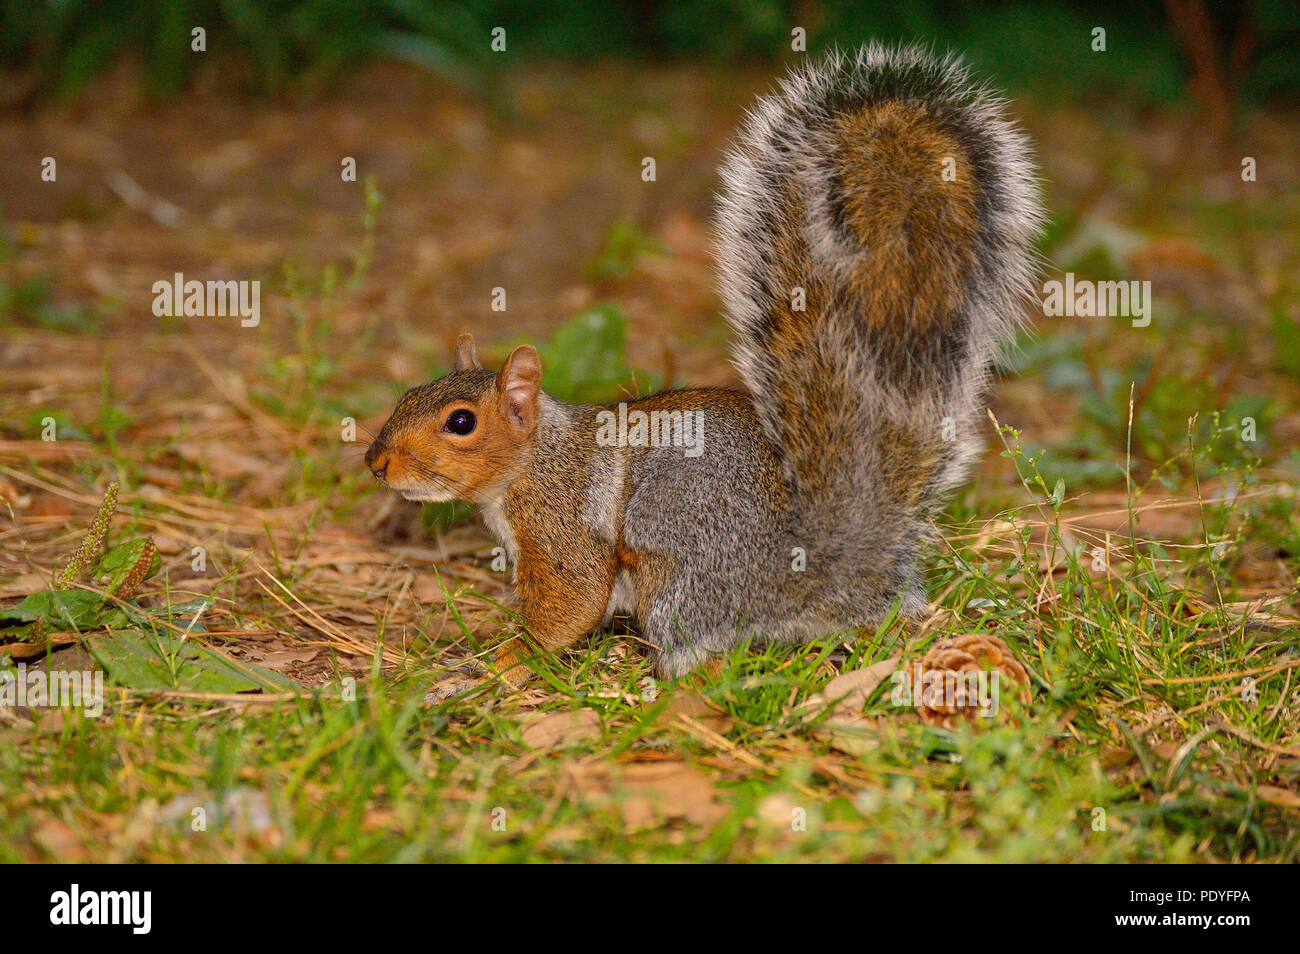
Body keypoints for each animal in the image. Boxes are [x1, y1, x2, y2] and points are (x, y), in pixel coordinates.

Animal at [366, 44, 1042, 687]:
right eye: (409, 393)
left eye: (460, 422)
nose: (376, 463)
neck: (535, 461)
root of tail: (827, 572)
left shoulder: (563, 525)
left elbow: (570, 603)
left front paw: (496, 661)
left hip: (678, 568)